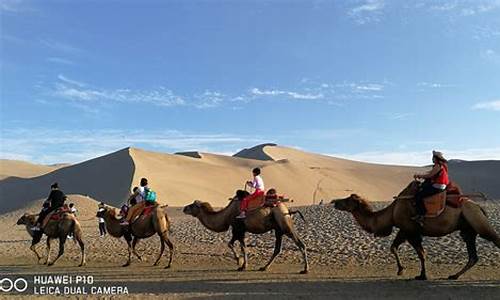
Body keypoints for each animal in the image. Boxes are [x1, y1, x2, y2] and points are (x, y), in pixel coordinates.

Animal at [332, 180, 500, 282]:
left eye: (347, 200)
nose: (334, 202)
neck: (391, 213)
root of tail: (479, 207)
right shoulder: (404, 230)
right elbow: (394, 247)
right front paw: (402, 270)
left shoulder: (411, 231)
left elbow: (421, 253)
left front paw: (421, 275)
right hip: (467, 229)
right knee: (473, 256)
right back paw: (453, 275)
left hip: (476, 220)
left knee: (493, 239)